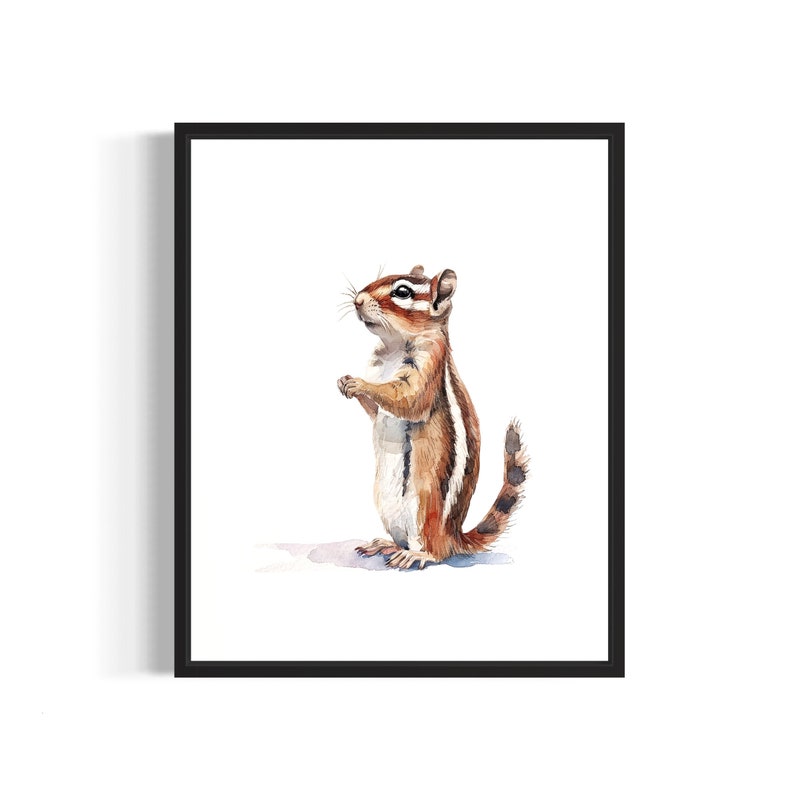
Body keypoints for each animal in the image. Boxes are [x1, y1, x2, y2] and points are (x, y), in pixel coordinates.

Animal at [337, 265, 528, 570]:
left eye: (403, 292)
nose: (357, 300)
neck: (393, 347)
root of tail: (453, 536)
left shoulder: (427, 368)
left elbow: (406, 399)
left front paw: (359, 384)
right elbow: (375, 410)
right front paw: (345, 382)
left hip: (425, 507)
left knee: (437, 553)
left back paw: (416, 554)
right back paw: (385, 545)